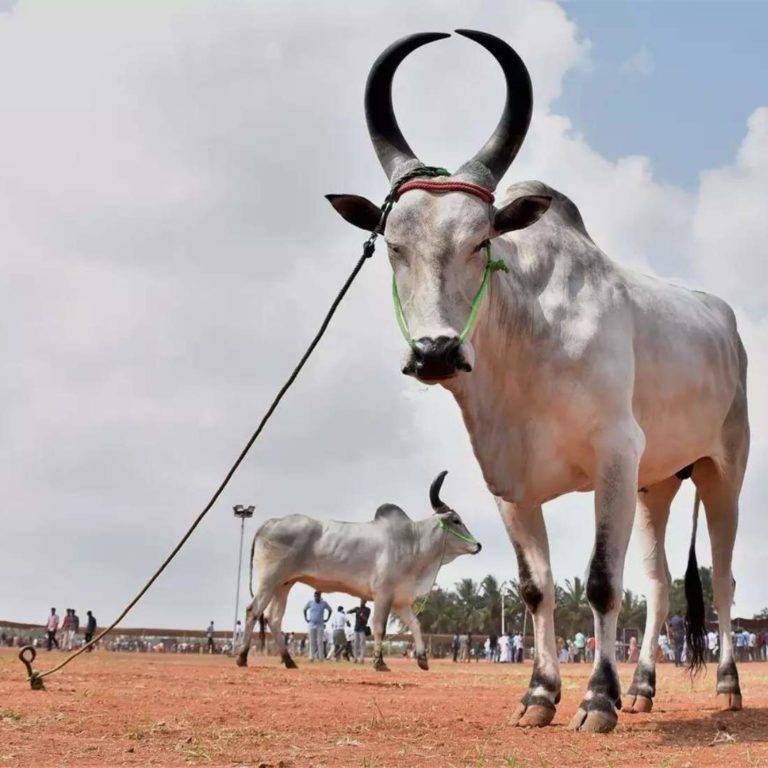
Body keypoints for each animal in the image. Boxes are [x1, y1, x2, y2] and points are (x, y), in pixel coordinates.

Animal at [235, 471, 481, 671]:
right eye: (456, 520)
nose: (477, 545)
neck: (413, 542)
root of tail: (268, 523)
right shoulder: (383, 595)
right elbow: (380, 628)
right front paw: (379, 663)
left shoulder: (401, 600)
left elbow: (416, 625)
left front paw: (422, 659)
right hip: (268, 580)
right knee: (253, 610)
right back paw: (242, 657)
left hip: (284, 584)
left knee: (274, 618)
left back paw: (289, 661)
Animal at [326, 30, 749, 732]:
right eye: (391, 245)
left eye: (481, 241)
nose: (436, 351)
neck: (528, 347)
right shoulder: (509, 483)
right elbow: (536, 588)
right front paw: (540, 694)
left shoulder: (613, 456)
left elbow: (602, 582)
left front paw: (597, 699)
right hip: (655, 484)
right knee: (660, 585)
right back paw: (643, 687)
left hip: (723, 471)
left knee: (721, 578)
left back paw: (725, 686)